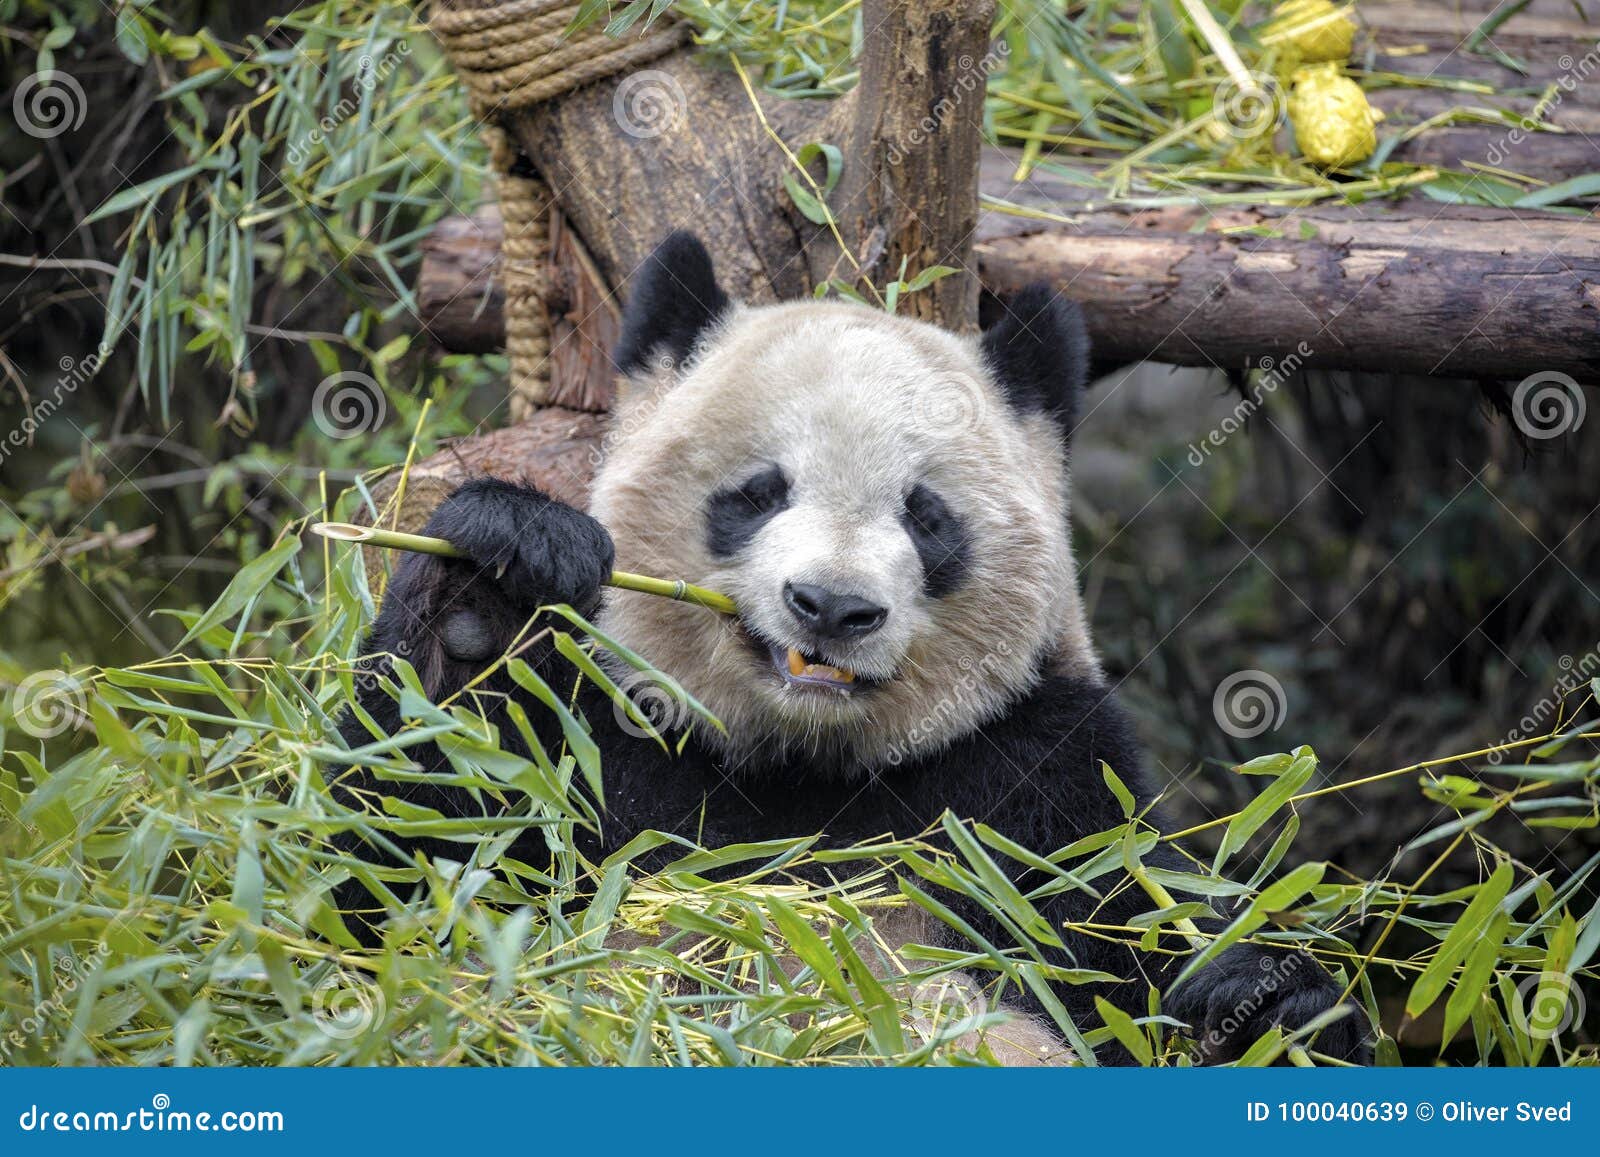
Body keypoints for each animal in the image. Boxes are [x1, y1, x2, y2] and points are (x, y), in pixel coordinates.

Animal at [333, 232, 1370, 1066]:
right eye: (759, 491)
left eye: (926, 515)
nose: (830, 607)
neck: (806, 763)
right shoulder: (608, 745)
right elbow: (386, 897)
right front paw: (491, 590)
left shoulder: (1036, 777)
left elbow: (1123, 960)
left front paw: (1259, 1005)